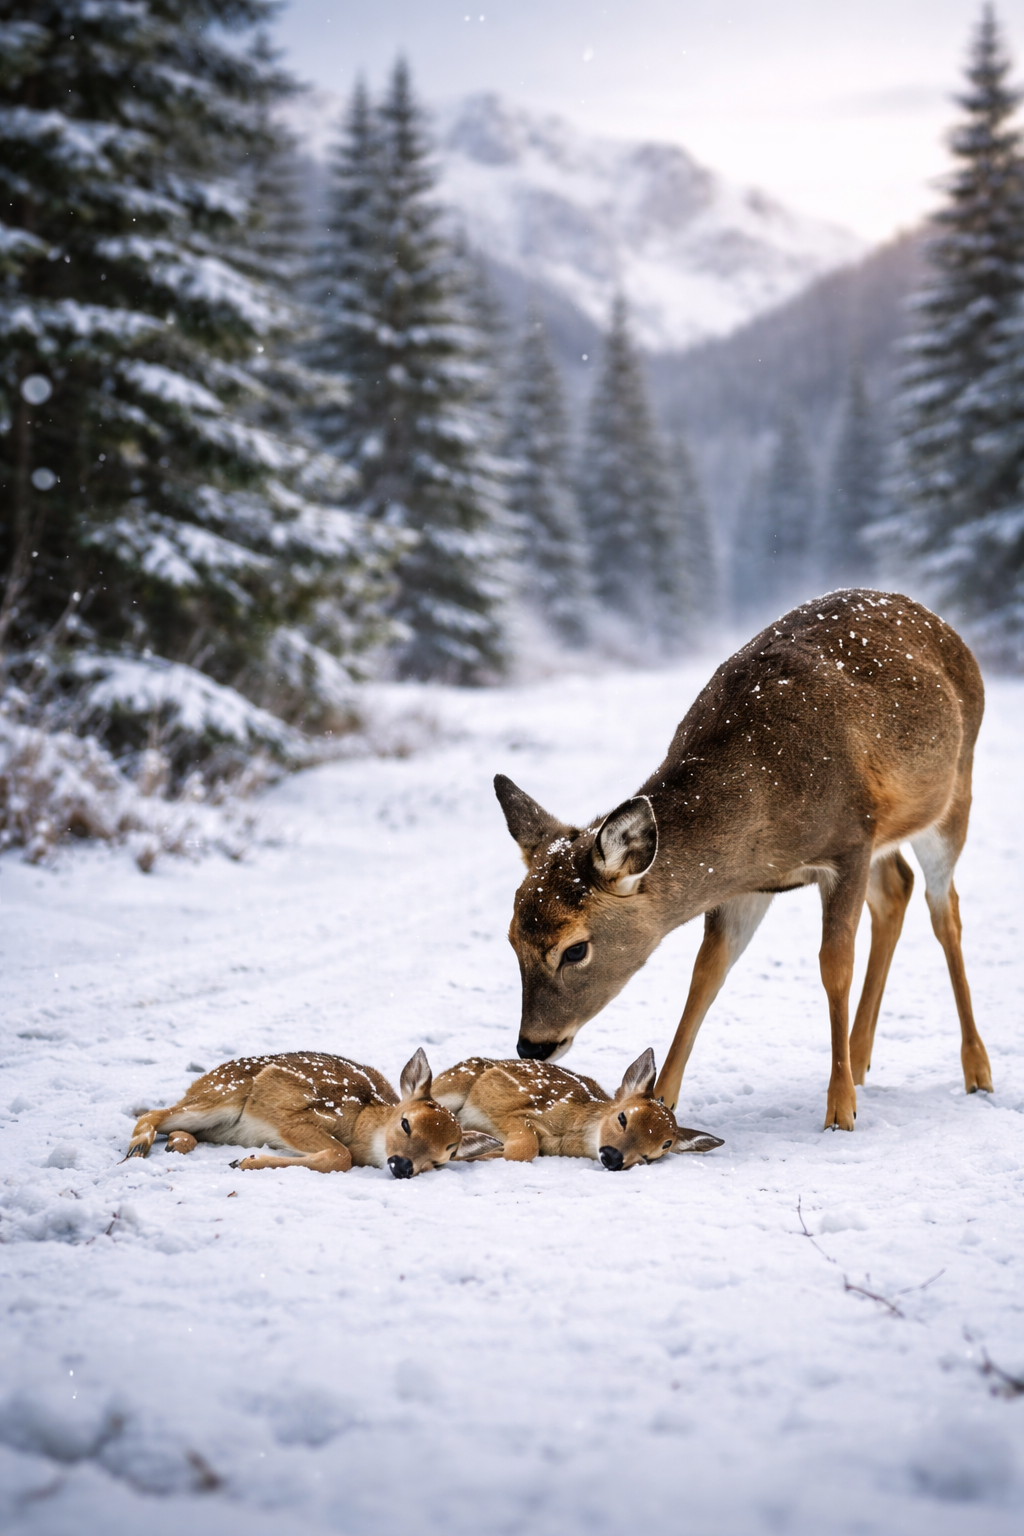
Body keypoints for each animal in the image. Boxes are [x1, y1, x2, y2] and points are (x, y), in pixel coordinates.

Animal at [123, 1048, 499, 1177]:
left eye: (441, 1159)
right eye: (406, 1124)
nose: (404, 1165)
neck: (362, 1121)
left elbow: (337, 1156)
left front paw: (246, 1160)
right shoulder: (291, 1117)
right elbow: (341, 1154)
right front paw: (245, 1162)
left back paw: (178, 1144)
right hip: (221, 1098)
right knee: (153, 1113)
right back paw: (138, 1149)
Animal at [432, 1047, 723, 1168]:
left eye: (665, 1145)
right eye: (622, 1117)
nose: (614, 1157)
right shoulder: (507, 1105)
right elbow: (527, 1146)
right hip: (454, 1085)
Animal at [494, 590, 993, 1132]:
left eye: (576, 949)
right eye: (511, 937)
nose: (533, 1045)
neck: (765, 790)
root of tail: (938, 622)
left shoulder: (849, 843)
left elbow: (834, 965)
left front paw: (839, 1111)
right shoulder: (746, 888)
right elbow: (706, 974)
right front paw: (661, 1101)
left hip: (954, 794)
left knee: (945, 911)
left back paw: (976, 1070)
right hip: (891, 835)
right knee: (897, 890)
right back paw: (862, 1058)